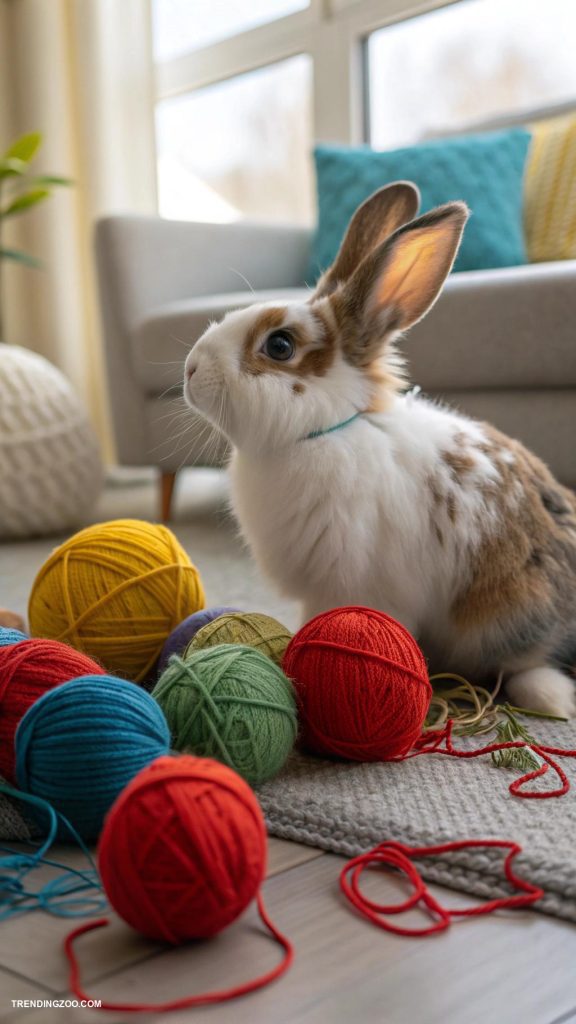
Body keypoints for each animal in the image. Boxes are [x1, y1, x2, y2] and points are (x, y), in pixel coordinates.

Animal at [183, 181, 576, 718]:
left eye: (280, 346)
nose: (190, 368)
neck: (324, 433)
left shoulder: (353, 583)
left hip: (509, 608)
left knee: (527, 661)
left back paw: (553, 701)